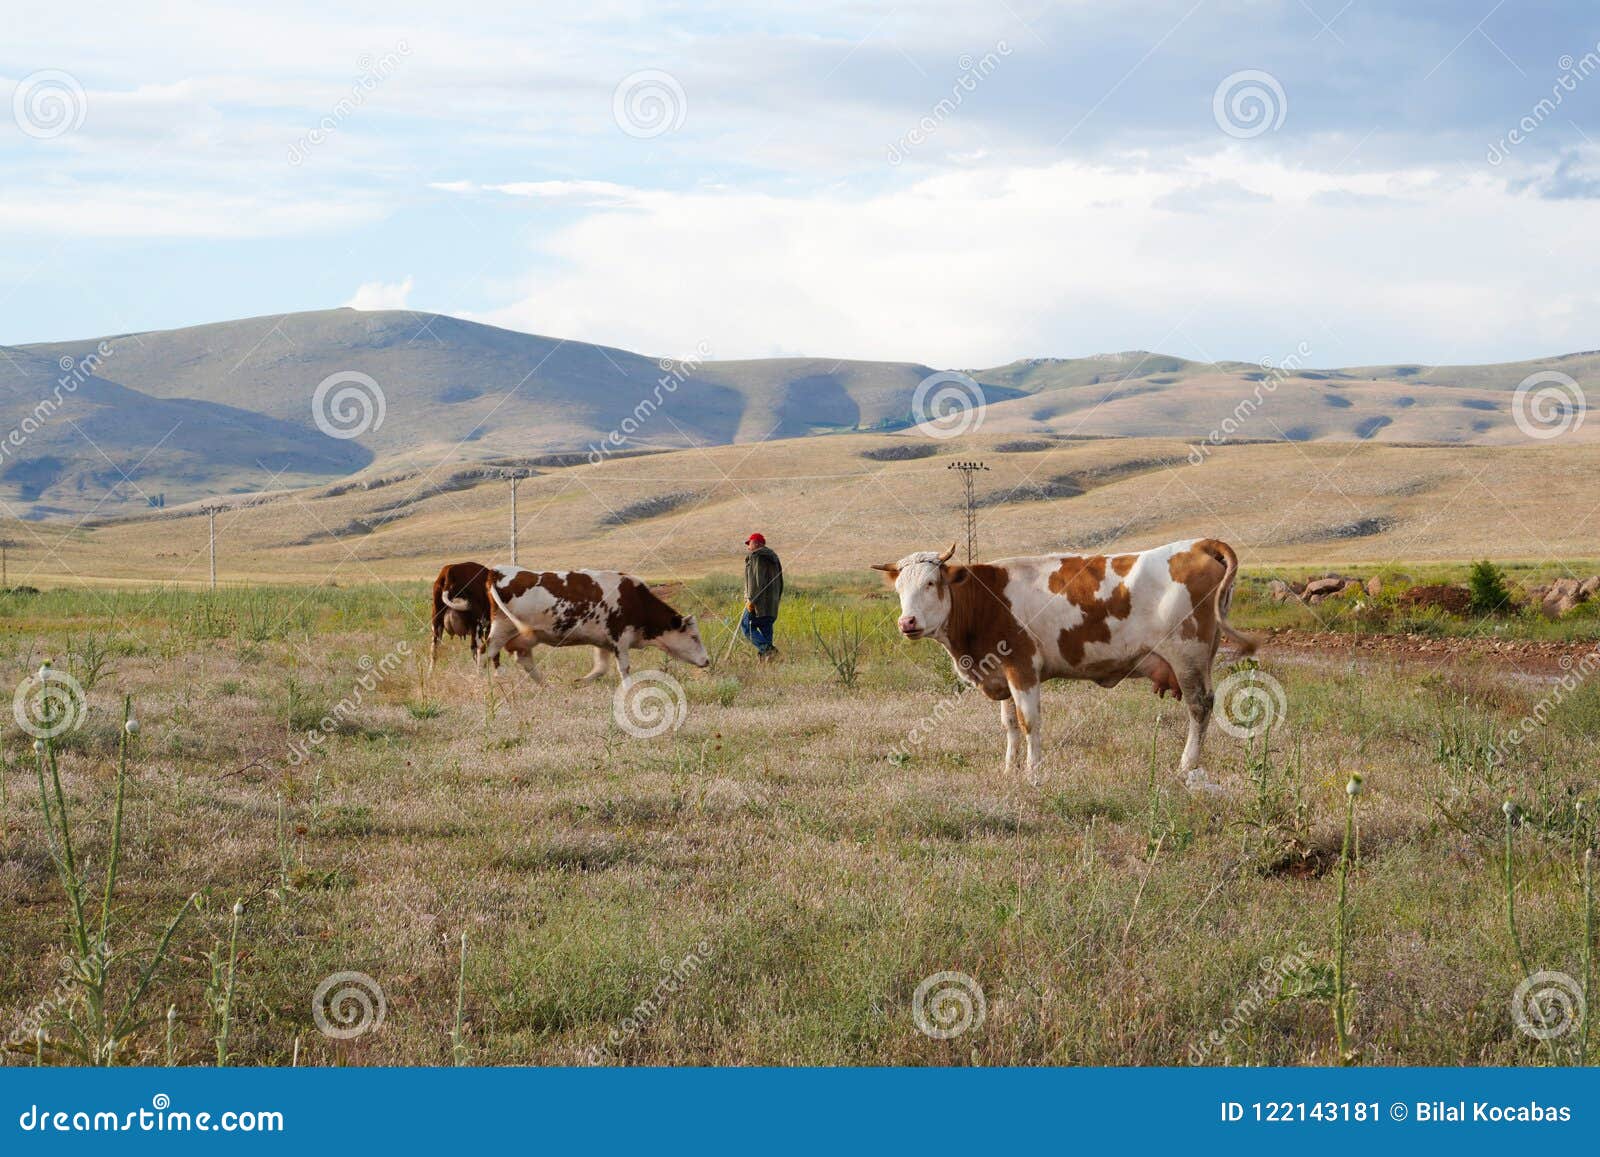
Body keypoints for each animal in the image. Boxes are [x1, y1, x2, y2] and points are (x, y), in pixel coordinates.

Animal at [482, 566, 710, 683]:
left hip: (525, 636)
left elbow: (601, 668)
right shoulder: (619, 638)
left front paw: (581, 682)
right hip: (503, 627)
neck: (635, 599)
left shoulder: (603, 642)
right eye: (694, 637)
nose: (707, 660)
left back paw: (544, 684)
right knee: (486, 651)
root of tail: (497, 571)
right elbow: (624, 668)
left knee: (523, 659)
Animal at [872, 539, 1258, 785]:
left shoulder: (1022, 666)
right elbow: (1009, 725)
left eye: (931, 583)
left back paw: (1186, 765)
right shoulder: (1001, 672)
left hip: (1187, 655)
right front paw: (1009, 770)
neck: (985, 600)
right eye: (899, 590)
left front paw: (1033, 774)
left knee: (1199, 707)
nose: (907, 622)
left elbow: (1029, 723)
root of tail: (1198, 544)